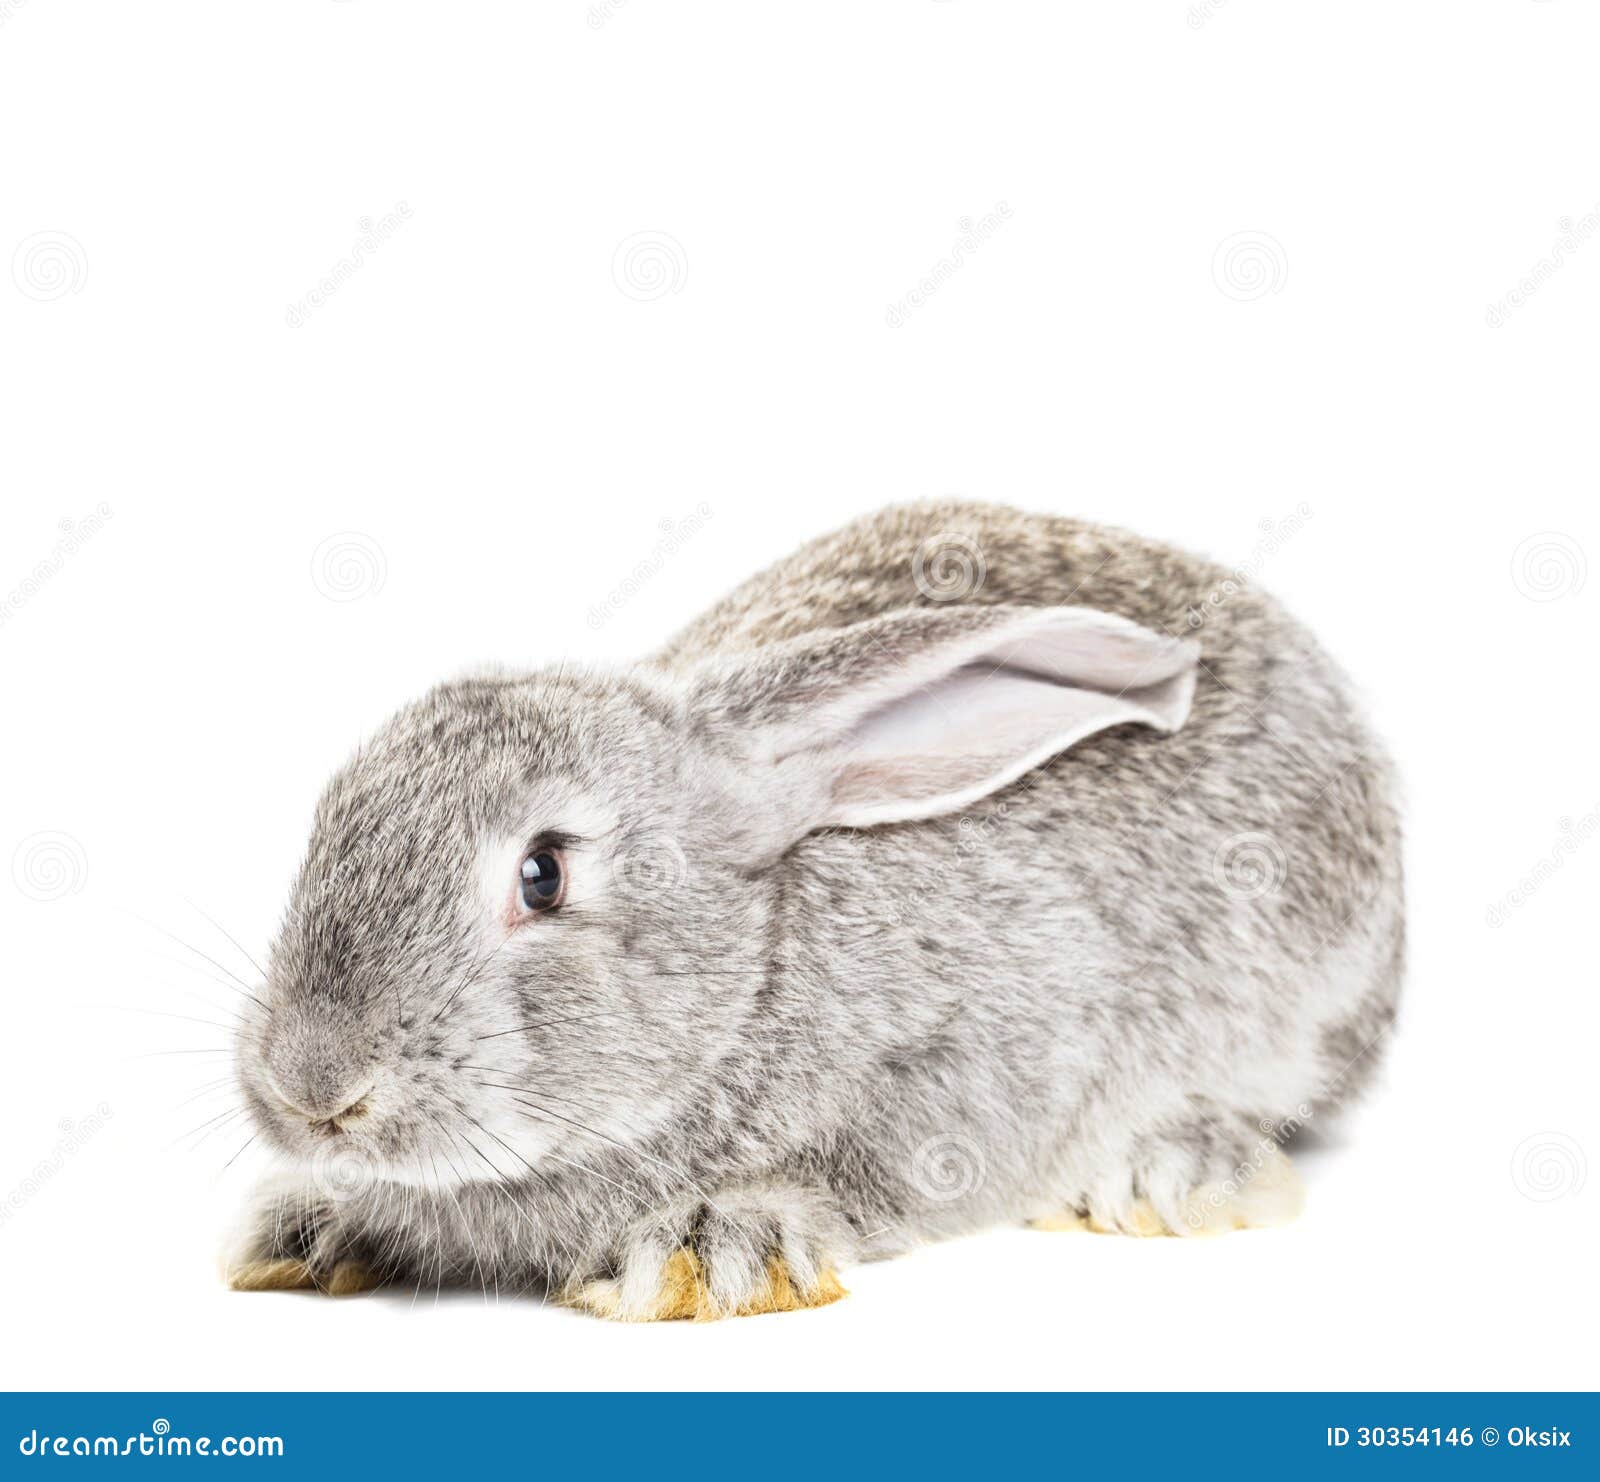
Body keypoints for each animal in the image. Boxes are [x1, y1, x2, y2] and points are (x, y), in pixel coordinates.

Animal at [226, 500, 1403, 1319]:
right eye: (330, 820)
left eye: (544, 874)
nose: (314, 1088)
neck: (754, 972)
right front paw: (308, 1228)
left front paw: (711, 1248)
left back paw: (1173, 1174)